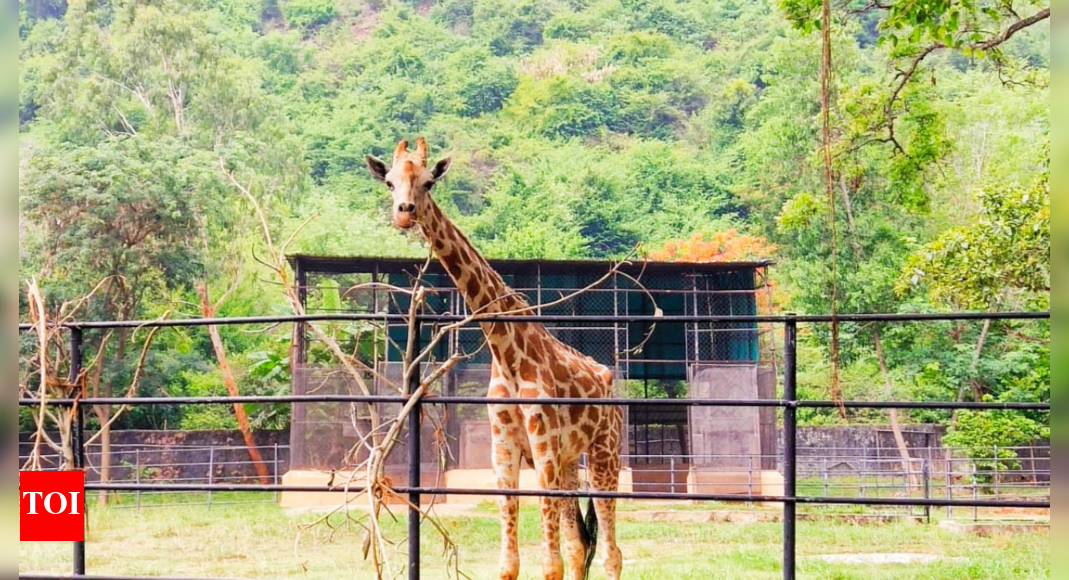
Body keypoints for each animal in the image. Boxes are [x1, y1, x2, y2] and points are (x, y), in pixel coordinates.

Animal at [367, 138, 623, 580]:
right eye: (389, 181)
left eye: (429, 182)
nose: (404, 213)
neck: (506, 352)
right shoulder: (503, 444)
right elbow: (510, 563)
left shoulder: (542, 443)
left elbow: (550, 564)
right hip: (571, 460)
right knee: (580, 546)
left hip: (605, 450)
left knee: (610, 551)